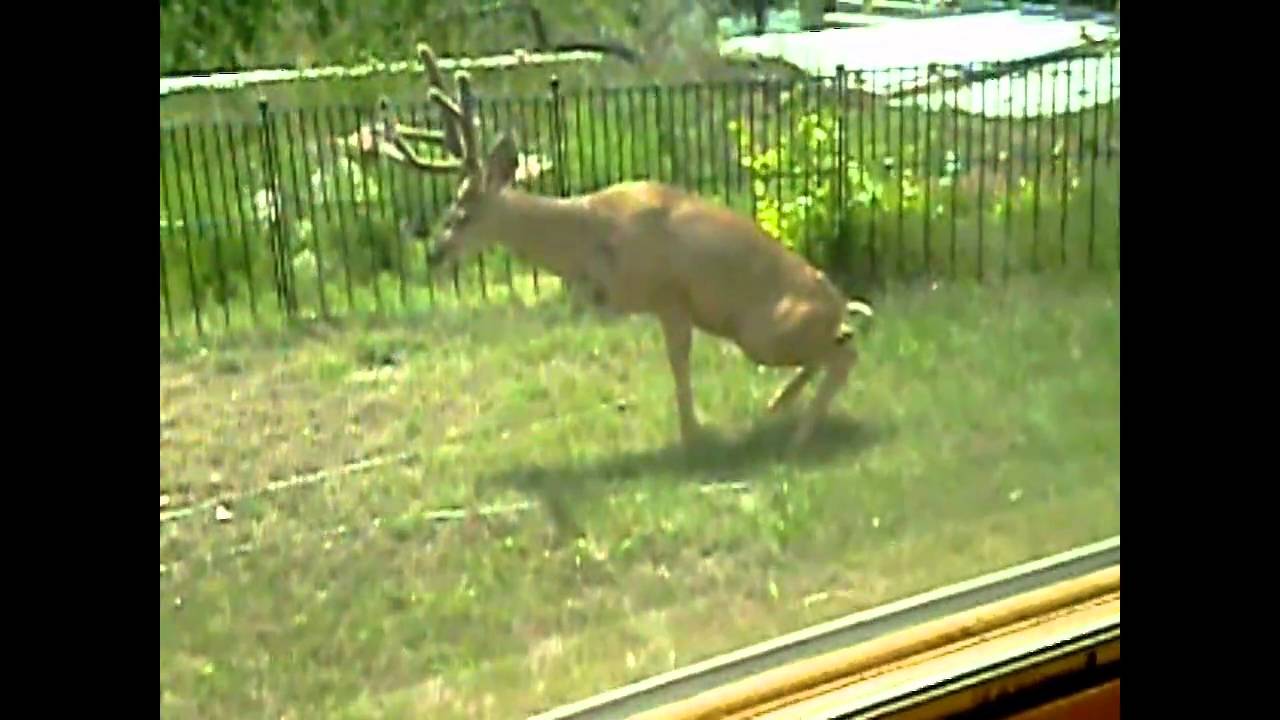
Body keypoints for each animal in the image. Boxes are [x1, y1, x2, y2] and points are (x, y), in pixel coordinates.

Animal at [368, 42, 874, 453]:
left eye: (464, 213)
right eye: (449, 207)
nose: (435, 252)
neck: (589, 235)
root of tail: (838, 302)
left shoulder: (670, 295)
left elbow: (679, 364)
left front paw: (692, 437)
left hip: (759, 332)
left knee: (844, 352)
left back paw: (798, 435)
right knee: (843, 343)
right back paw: (777, 406)